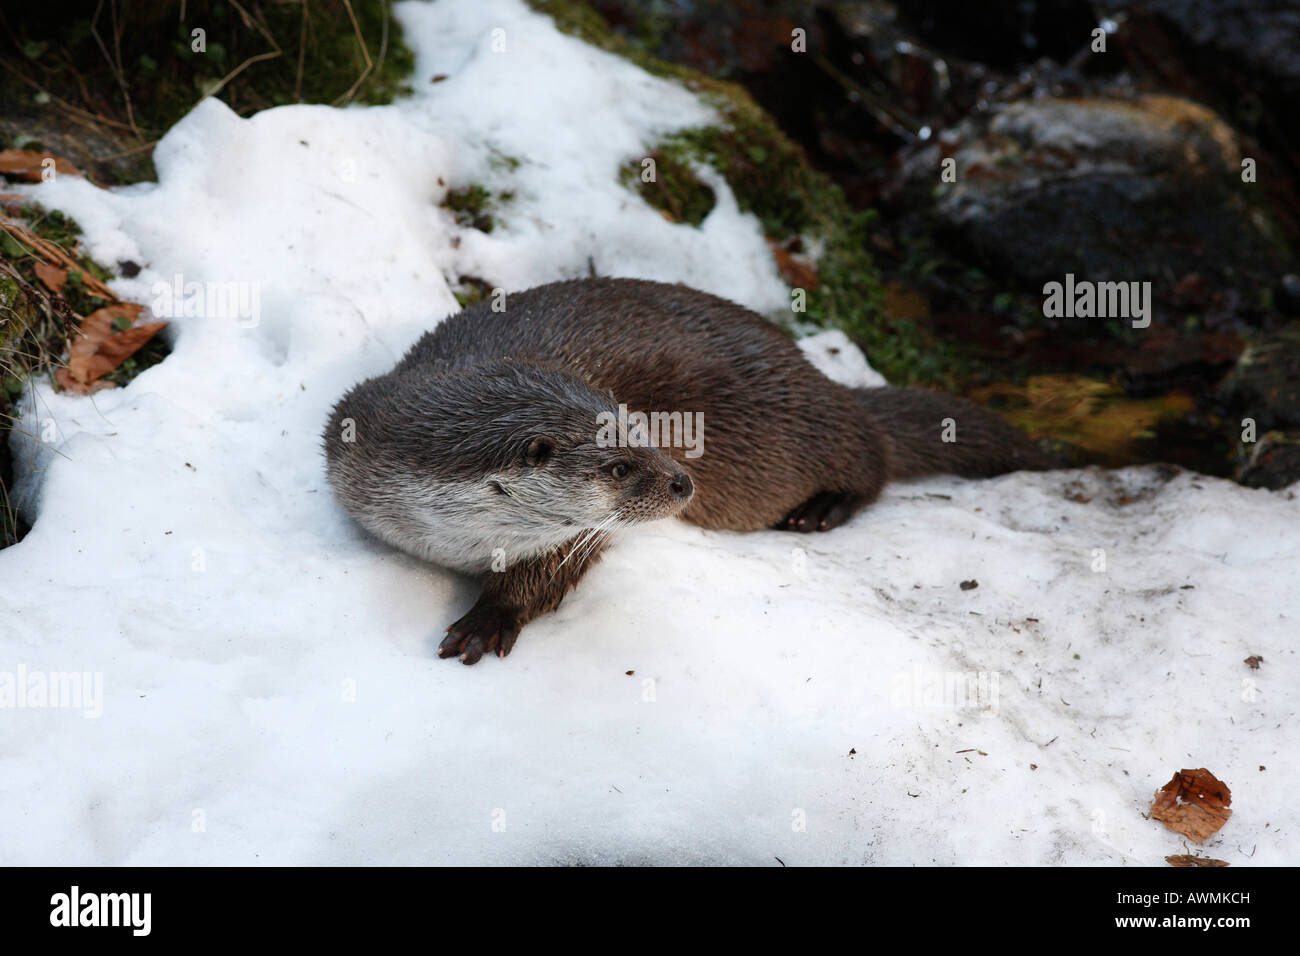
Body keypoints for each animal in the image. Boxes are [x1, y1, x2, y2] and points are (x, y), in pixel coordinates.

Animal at [325, 278, 1052, 664]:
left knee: (869, 453)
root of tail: (815, 373)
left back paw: (821, 510)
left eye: (641, 428)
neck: (450, 537)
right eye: (619, 466)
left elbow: (542, 580)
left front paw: (488, 619)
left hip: (794, 434)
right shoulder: (350, 430)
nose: (682, 482)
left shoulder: (568, 540)